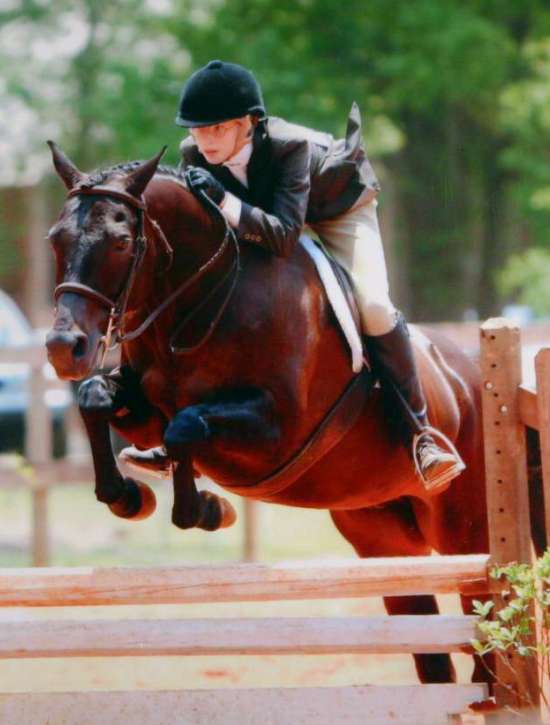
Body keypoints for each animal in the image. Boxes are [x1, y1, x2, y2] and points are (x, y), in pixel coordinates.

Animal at [44, 143, 539, 688]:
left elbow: (186, 425)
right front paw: (129, 497)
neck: (203, 301)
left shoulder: (277, 431)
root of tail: (474, 378)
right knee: (435, 658)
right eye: (55, 239)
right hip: (385, 542)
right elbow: (97, 400)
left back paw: (433, 455)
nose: (65, 348)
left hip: (466, 534)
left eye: (120, 242)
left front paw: (207, 509)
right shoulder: (145, 409)